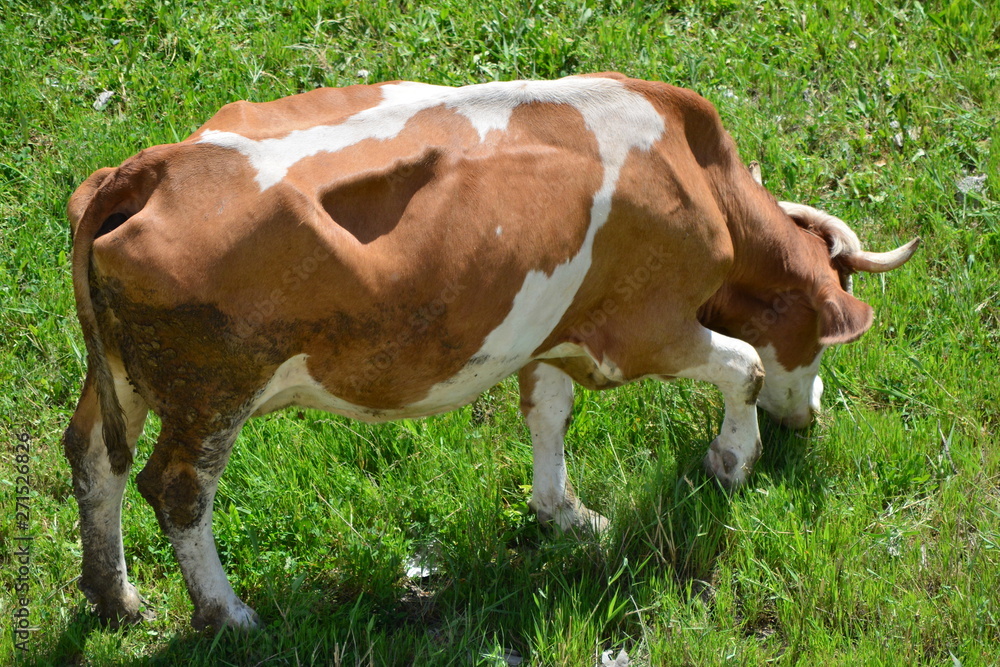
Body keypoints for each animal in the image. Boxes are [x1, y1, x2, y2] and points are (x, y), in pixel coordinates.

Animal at [63, 72, 917, 630]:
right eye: (820, 338)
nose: (810, 417)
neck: (697, 172)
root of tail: (144, 170)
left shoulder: (555, 332)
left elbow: (548, 416)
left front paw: (564, 513)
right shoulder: (645, 331)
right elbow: (745, 365)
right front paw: (732, 462)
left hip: (122, 375)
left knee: (94, 458)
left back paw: (114, 597)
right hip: (212, 388)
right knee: (176, 490)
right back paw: (228, 612)